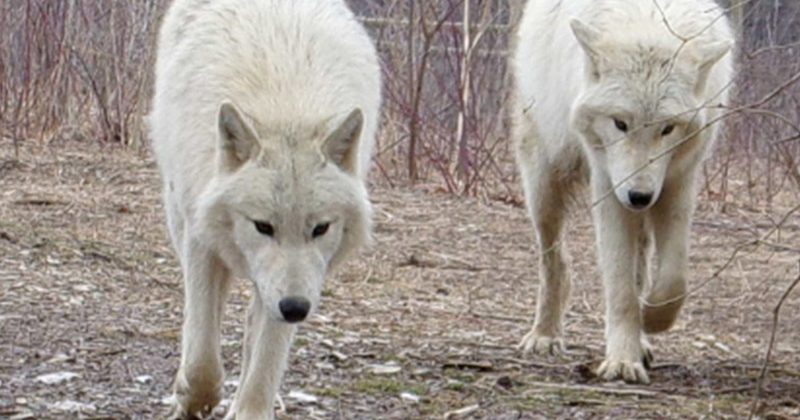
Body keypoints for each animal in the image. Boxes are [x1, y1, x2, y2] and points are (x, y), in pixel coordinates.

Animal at [149, 0, 381, 417]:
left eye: (320, 228)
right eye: (262, 226)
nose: (295, 309)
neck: (286, 112)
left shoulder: (302, 280)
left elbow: (265, 361)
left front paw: (247, 407)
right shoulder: (200, 242)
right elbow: (203, 360)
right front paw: (190, 401)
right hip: (179, 216)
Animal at [512, 0, 734, 383]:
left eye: (667, 129)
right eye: (620, 123)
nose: (639, 197)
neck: (647, 22)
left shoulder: (679, 182)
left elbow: (673, 279)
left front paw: (652, 320)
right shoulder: (608, 186)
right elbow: (620, 288)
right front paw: (621, 362)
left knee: (641, 263)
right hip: (543, 187)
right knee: (553, 261)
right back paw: (545, 335)